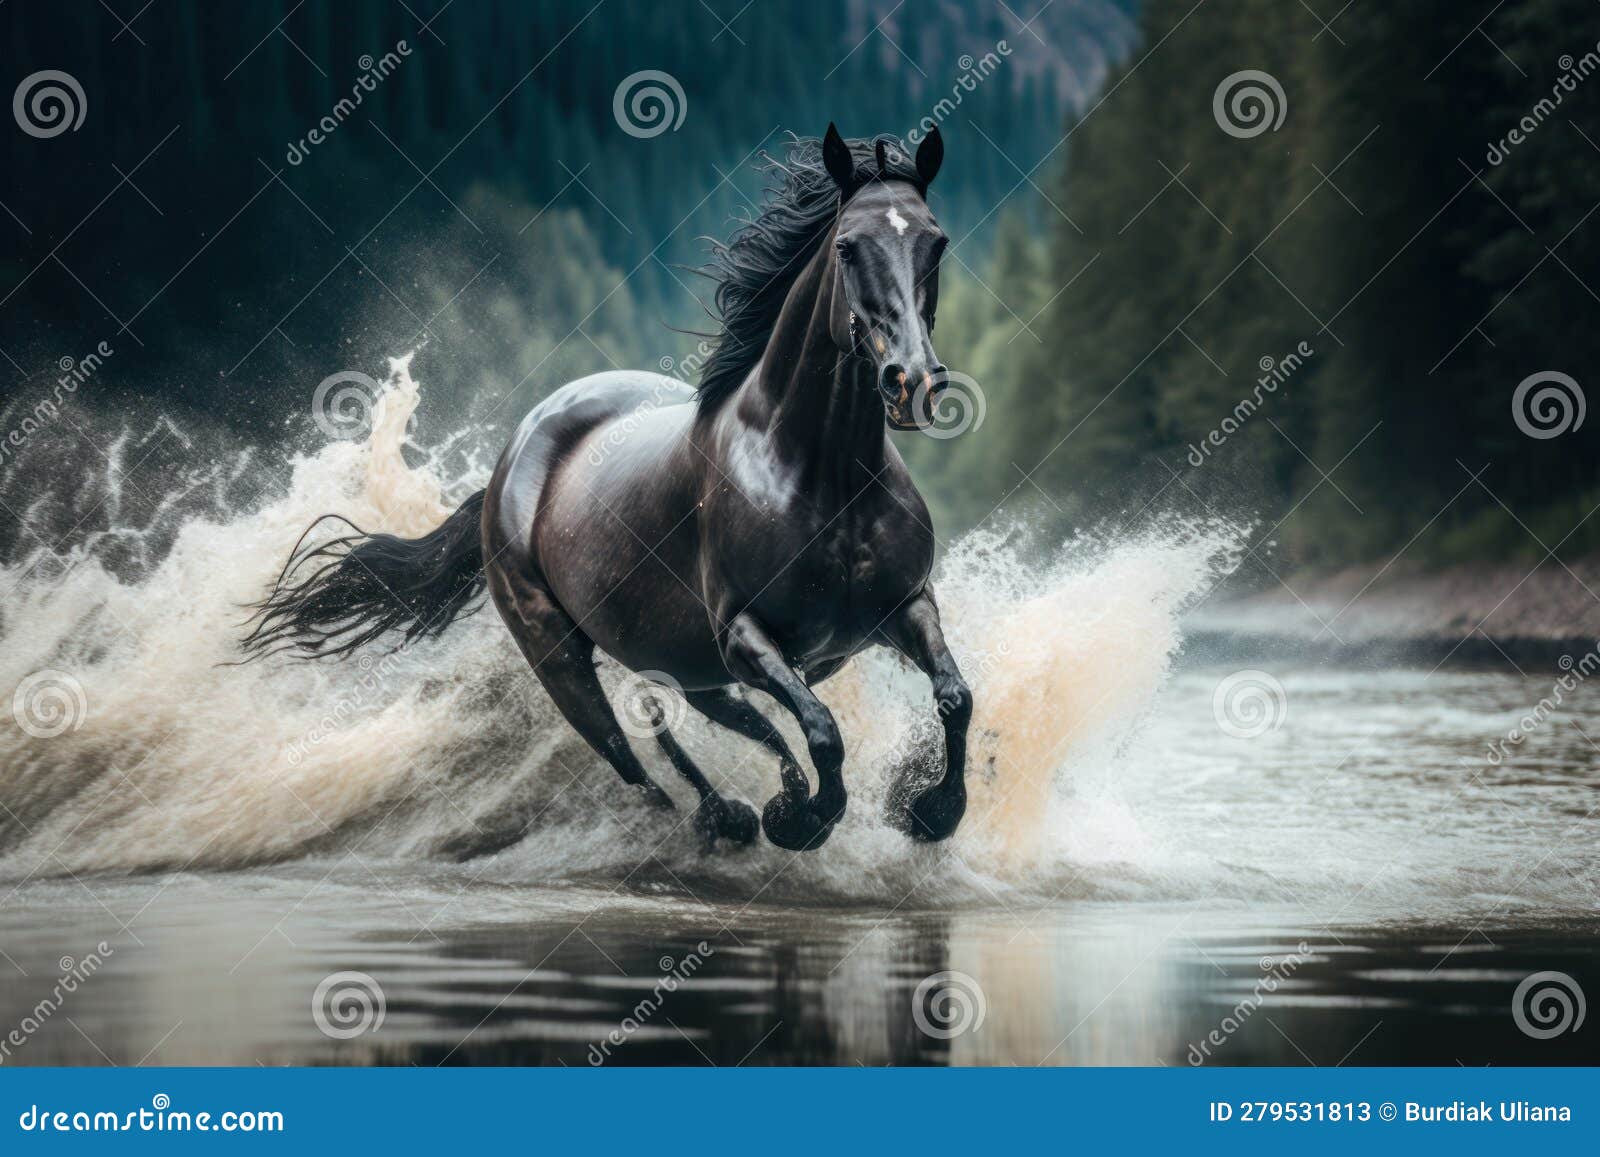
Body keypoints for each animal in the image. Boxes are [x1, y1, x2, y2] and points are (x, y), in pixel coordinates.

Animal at [243, 125, 971, 853]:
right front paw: (804, 820)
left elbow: (953, 697)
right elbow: (822, 730)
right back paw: (725, 817)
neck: (820, 474)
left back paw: (749, 810)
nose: (912, 381)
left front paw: (928, 808)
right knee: (637, 764)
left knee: (698, 723)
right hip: (561, 658)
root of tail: (508, 464)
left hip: (680, 660)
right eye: (848, 245)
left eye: (936, 241)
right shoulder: (744, 636)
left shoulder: (901, 606)